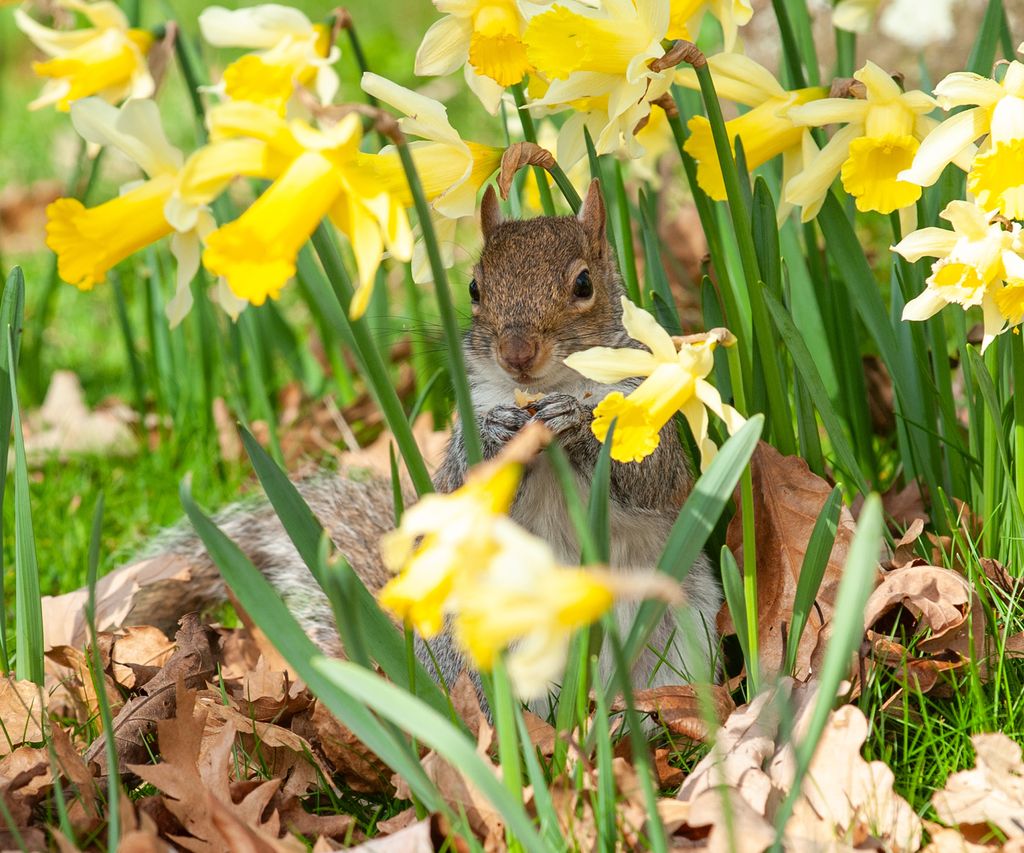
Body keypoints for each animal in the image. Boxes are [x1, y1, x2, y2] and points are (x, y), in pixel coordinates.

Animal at [95, 180, 721, 702]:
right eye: (474, 288)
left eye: (584, 284)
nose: (516, 353)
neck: (545, 388)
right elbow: (458, 488)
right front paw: (495, 439)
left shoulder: (652, 414)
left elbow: (650, 477)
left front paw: (578, 424)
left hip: (685, 624)